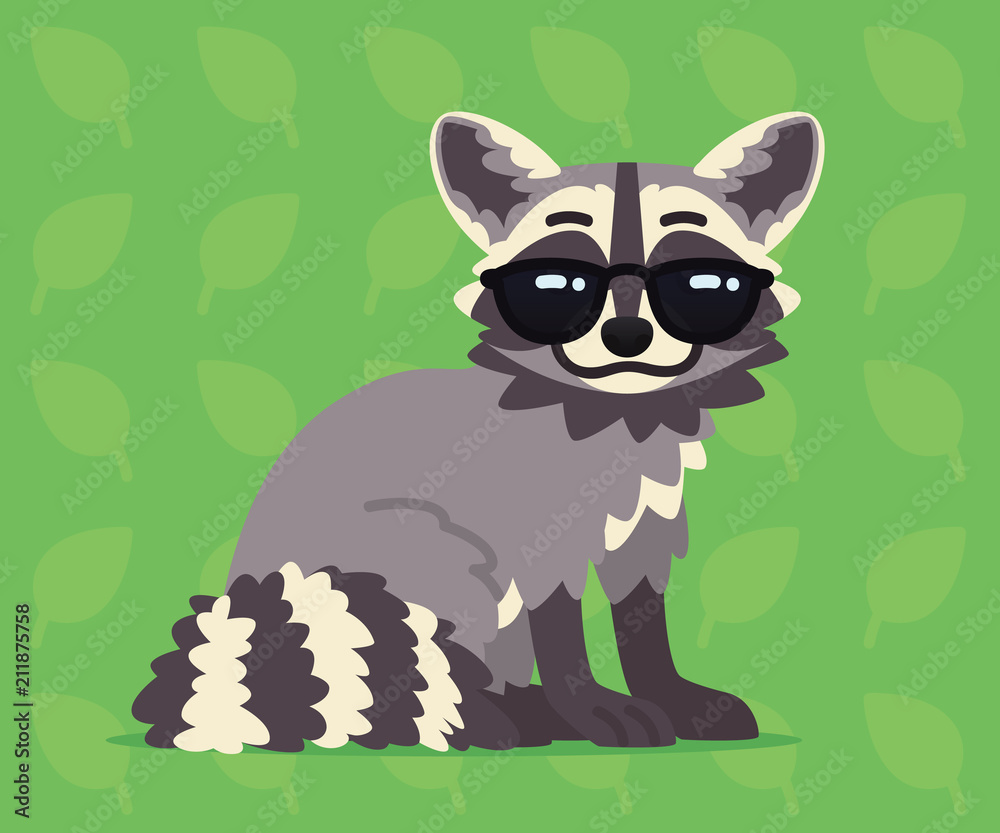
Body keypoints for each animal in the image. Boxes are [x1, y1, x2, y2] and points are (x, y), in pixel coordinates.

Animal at [134, 111, 823, 753]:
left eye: (703, 284)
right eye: (554, 284)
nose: (626, 337)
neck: (614, 411)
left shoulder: (644, 517)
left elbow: (641, 610)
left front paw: (667, 692)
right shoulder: (534, 520)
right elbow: (558, 624)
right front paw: (585, 700)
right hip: (421, 549)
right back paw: (483, 712)